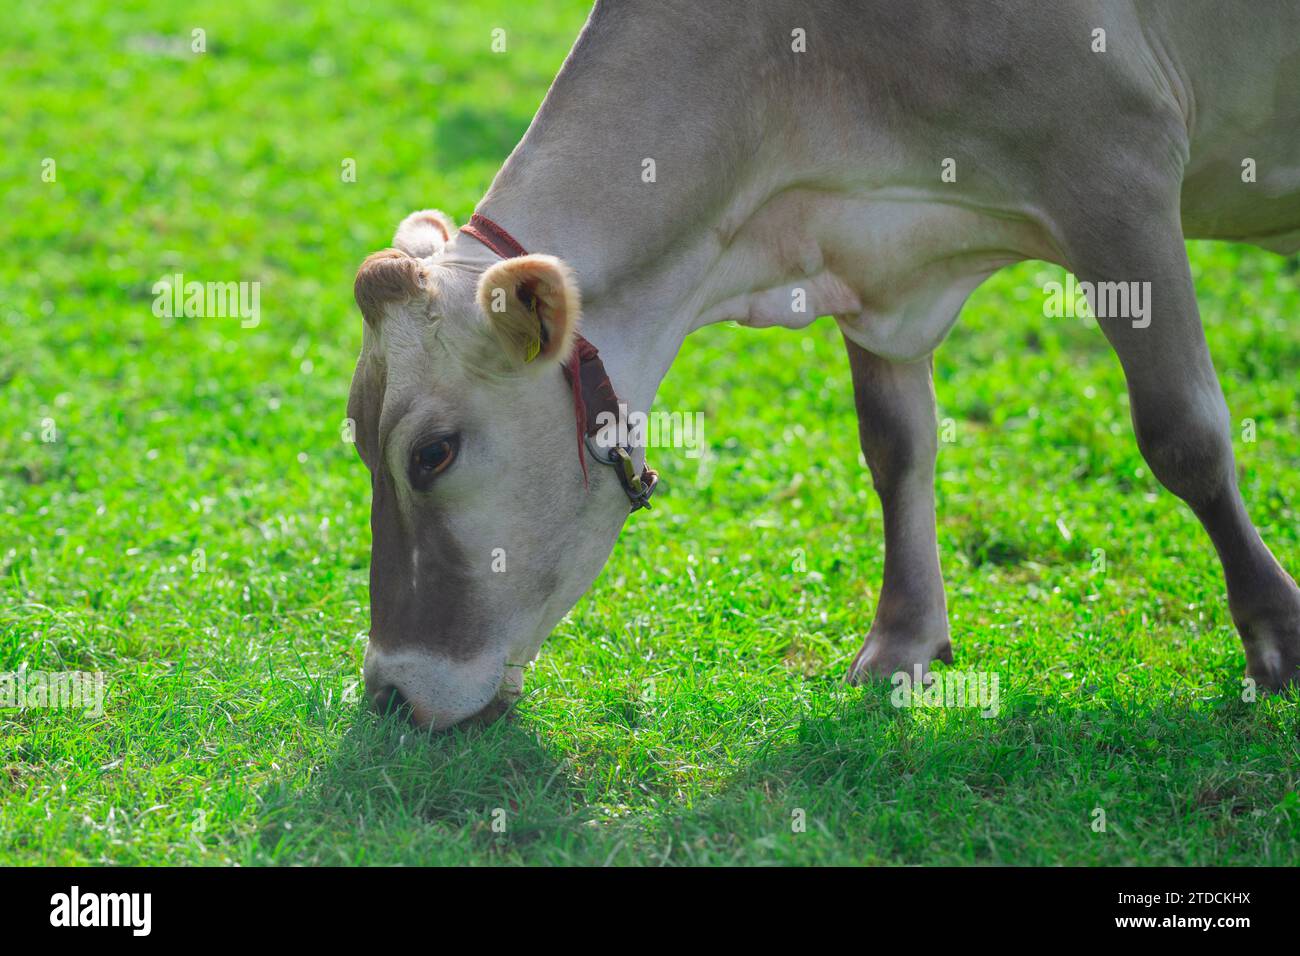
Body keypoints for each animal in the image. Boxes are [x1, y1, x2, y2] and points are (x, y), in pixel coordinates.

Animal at [349, 0, 1300, 729]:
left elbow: (1184, 436)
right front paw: (902, 642)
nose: (388, 691)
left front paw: (1277, 635)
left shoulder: (1117, 170)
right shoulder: (866, 256)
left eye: (431, 454)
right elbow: (895, 446)